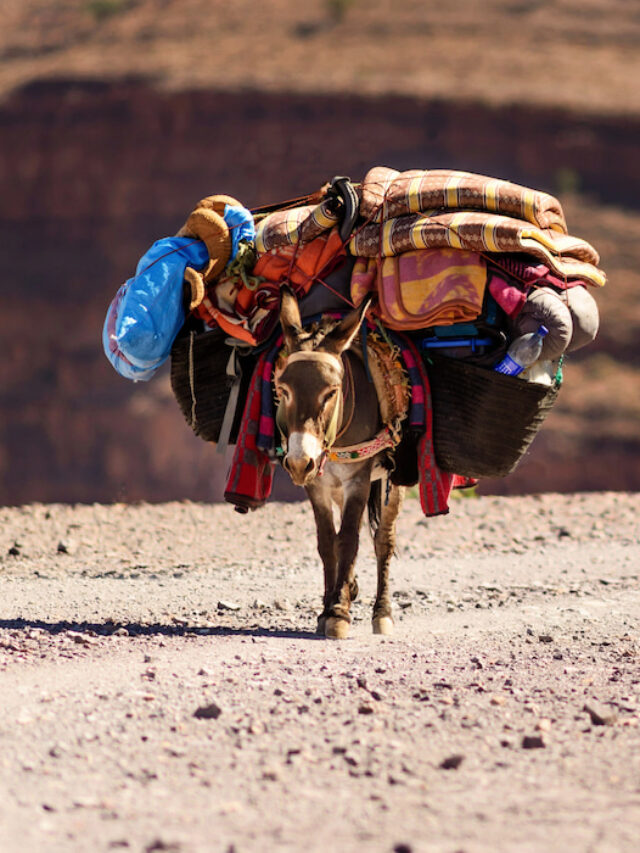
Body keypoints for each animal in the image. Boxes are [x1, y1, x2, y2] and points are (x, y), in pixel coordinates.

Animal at [276, 286, 405, 640]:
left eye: (331, 392)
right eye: (283, 389)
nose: (299, 462)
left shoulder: (357, 480)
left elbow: (349, 540)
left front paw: (338, 613)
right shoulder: (318, 486)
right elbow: (327, 542)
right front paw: (327, 607)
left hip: (391, 480)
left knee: (383, 540)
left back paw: (382, 612)